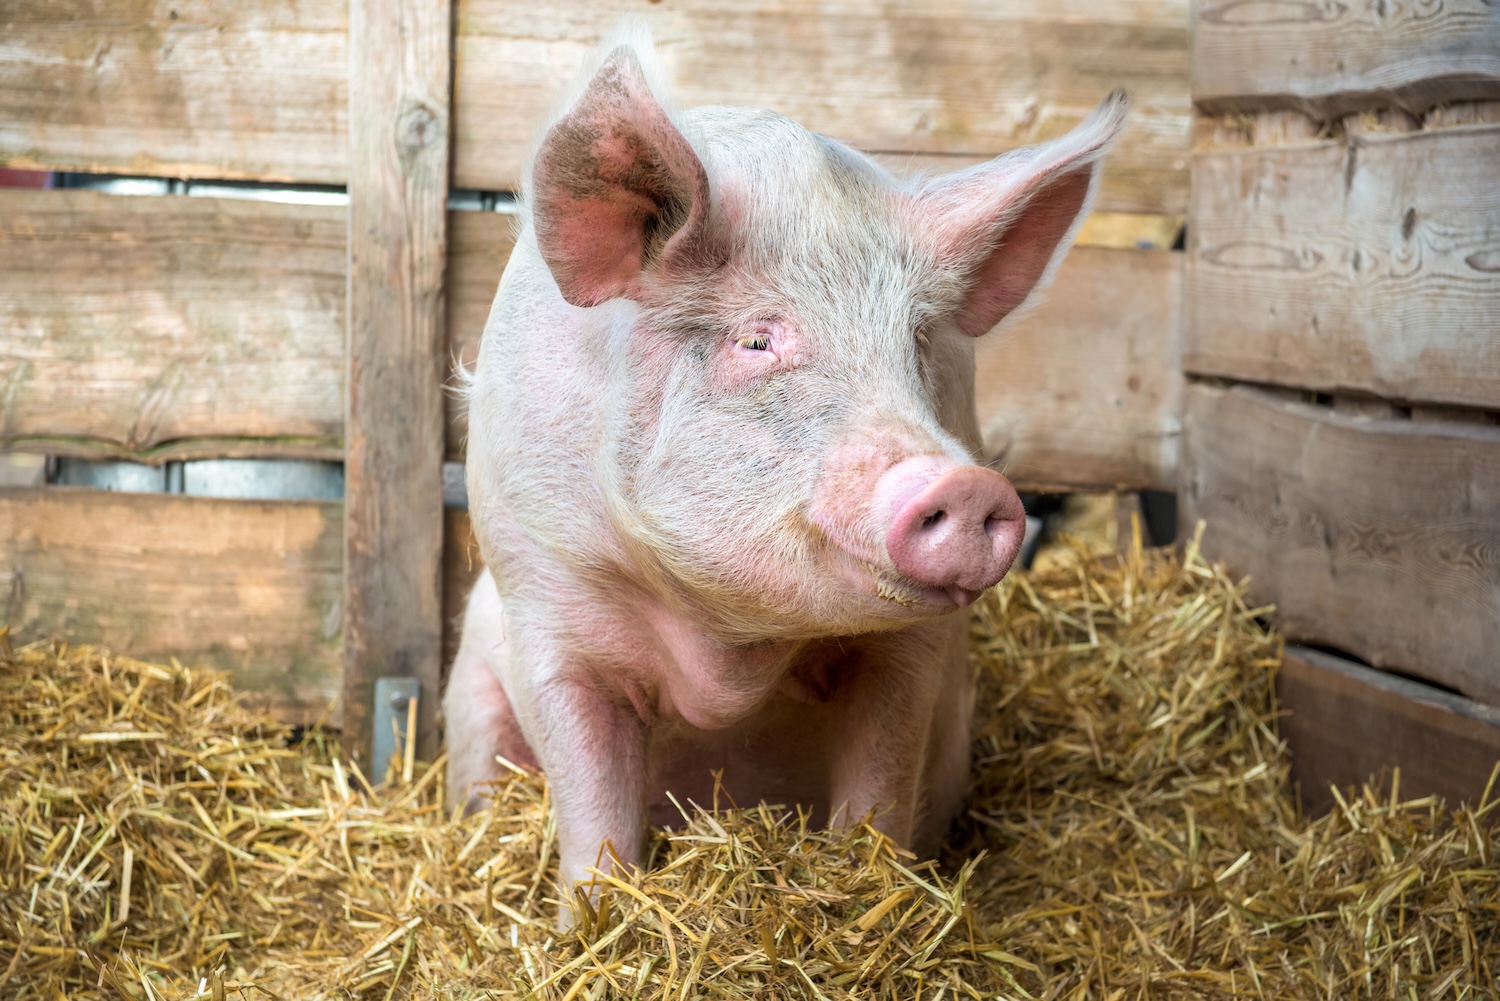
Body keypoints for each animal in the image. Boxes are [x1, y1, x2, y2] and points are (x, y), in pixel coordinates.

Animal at [444, 30, 1126, 909]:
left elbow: (879, 789)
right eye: (758, 340)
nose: (967, 485)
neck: (725, 652)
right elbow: (592, 807)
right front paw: (590, 917)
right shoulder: (544, 599)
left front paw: (866, 886)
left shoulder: (911, 650)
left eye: (916, 341)